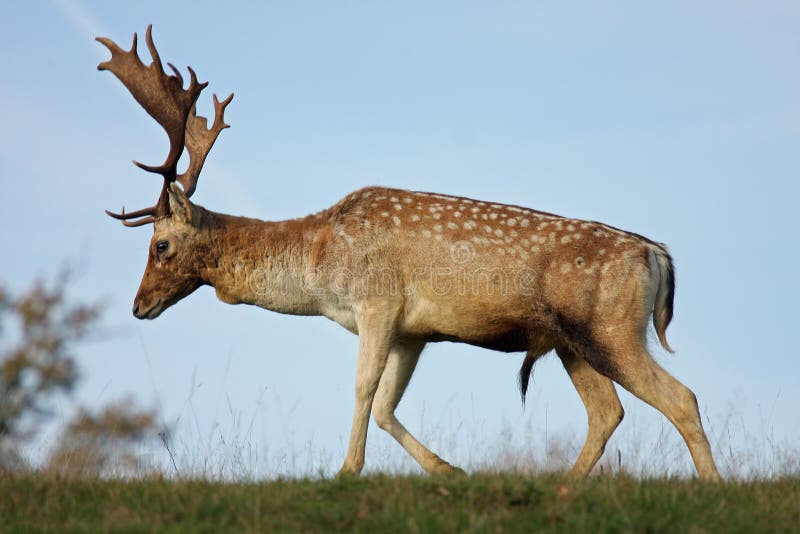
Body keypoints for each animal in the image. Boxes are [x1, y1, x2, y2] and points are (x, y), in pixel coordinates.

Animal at [98, 26, 721, 481]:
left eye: (160, 244)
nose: (137, 306)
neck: (320, 267)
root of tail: (657, 256)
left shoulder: (378, 303)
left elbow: (361, 389)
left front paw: (346, 471)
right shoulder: (412, 331)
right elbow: (385, 405)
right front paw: (449, 470)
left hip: (611, 327)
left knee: (681, 397)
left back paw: (712, 486)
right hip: (571, 342)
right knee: (608, 411)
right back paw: (565, 489)